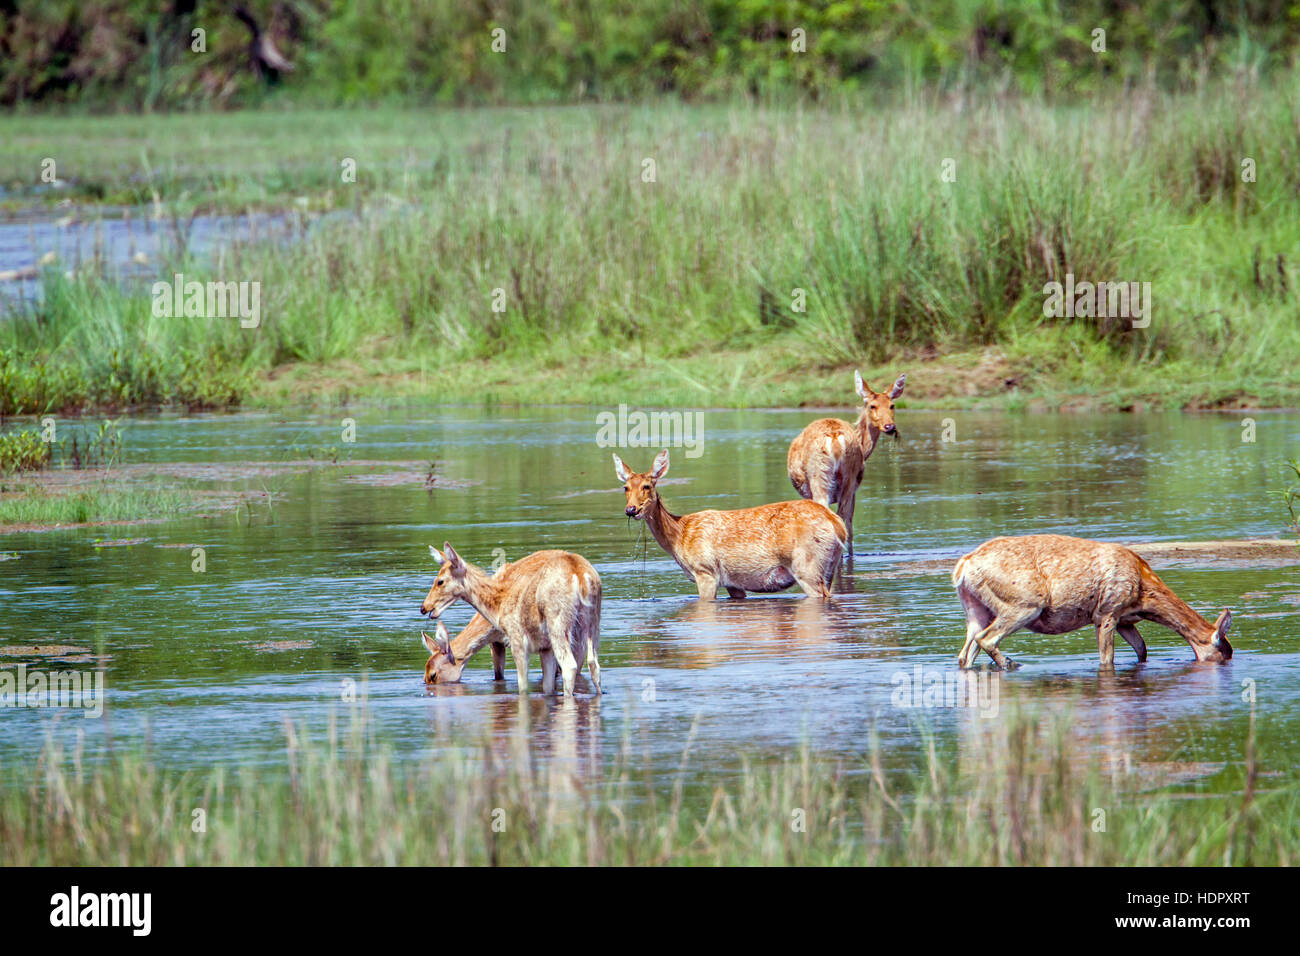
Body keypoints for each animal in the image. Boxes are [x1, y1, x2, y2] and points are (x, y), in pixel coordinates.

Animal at [420, 545, 602, 697]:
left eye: (440, 581)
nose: (424, 607)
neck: (497, 609)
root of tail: (579, 574)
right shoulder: (543, 648)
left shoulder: (518, 640)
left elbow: (523, 686)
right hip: (593, 621)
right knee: (593, 664)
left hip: (559, 624)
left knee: (570, 666)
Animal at [613, 449, 846, 599]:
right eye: (625, 487)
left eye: (647, 486)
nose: (631, 509)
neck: (679, 537)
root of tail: (837, 525)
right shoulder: (734, 583)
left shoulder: (705, 571)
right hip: (829, 565)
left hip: (807, 565)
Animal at [787, 371, 905, 550]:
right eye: (872, 406)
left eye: (892, 405)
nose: (889, 426)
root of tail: (835, 438)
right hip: (848, 475)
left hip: (820, 475)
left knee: (838, 518)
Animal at [953, 534, 1233, 669]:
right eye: (1223, 652)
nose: (1229, 661)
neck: (1143, 592)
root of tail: (963, 566)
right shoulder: (1106, 612)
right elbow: (1106, 658)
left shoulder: (1126, 620)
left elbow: (1142, 649)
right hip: (1024, 604)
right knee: (987, 639)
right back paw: (1013, 664)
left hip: (977, 609)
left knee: (965, 654)